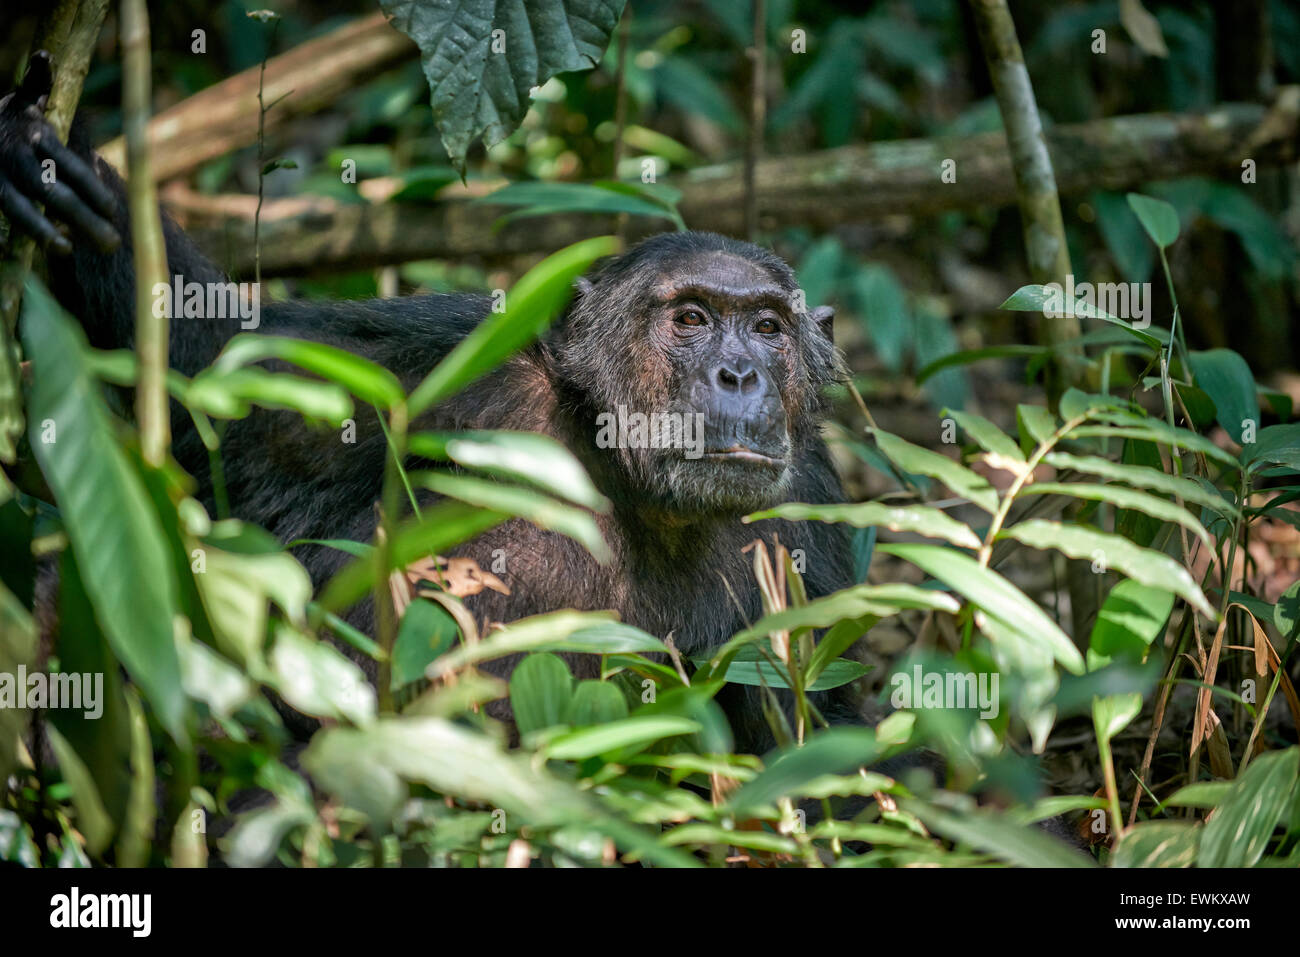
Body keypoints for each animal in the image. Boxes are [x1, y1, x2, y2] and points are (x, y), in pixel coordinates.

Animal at [0, 55, 865, 757]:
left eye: (767, 327)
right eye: (689, 318)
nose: (738, 372)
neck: (630, 482)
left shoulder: (814, 516)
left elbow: (825, 735)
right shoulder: (429, 368)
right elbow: (218, 369)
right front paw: (37, 157)